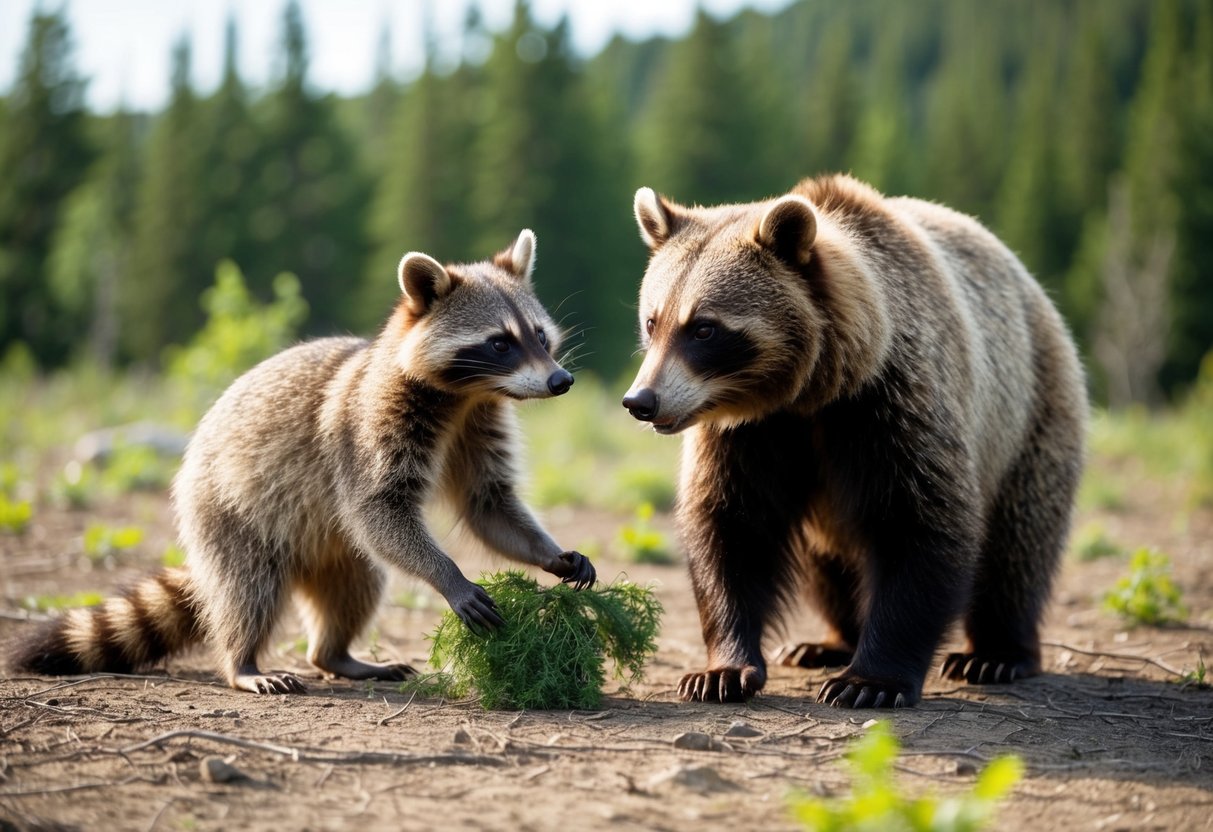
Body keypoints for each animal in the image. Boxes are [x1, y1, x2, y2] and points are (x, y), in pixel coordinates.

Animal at [12, 229, 595, 694]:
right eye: (499, 343)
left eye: (538, 335)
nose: (561, 380)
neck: (467, 395)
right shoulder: (370, 425)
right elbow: (377, 506)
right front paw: (447, 574)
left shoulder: (478, 425)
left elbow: (487, 504)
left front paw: (551, 553)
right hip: (226, 511)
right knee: (246, 591)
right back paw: (242, 662)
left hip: (333, 552)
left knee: (358, 586)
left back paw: (335, 654)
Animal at [623, 175, 1086, 708]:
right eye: (653, 320)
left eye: (704, 327)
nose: (642, 400)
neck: (811, 393)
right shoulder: (750, 437)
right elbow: (731, 527)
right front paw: (721, 672)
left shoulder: (889, 406)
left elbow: (918, 524)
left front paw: (869, 682)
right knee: (829, 562)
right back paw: (823, 644)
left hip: (1030, 411)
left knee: (1018, 542)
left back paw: (995, 654)